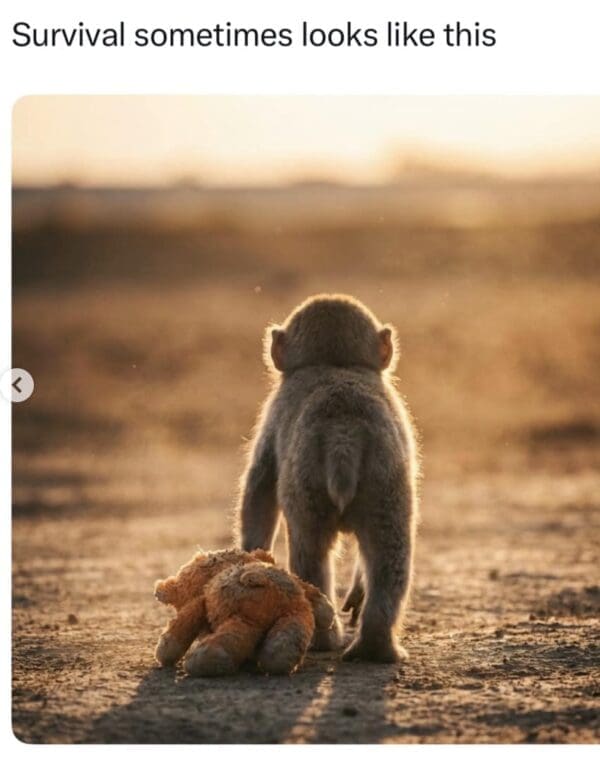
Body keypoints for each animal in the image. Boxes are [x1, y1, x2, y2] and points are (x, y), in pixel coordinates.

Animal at [237, 294, 419, 662]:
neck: (337, 364)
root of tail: (343, 432)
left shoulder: (275, 410)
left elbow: (259, 488)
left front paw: (252, 558)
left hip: (307, 486)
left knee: (311, 552)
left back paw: (324, 639)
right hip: (385, 484)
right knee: (390, 555)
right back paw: (375, 646)